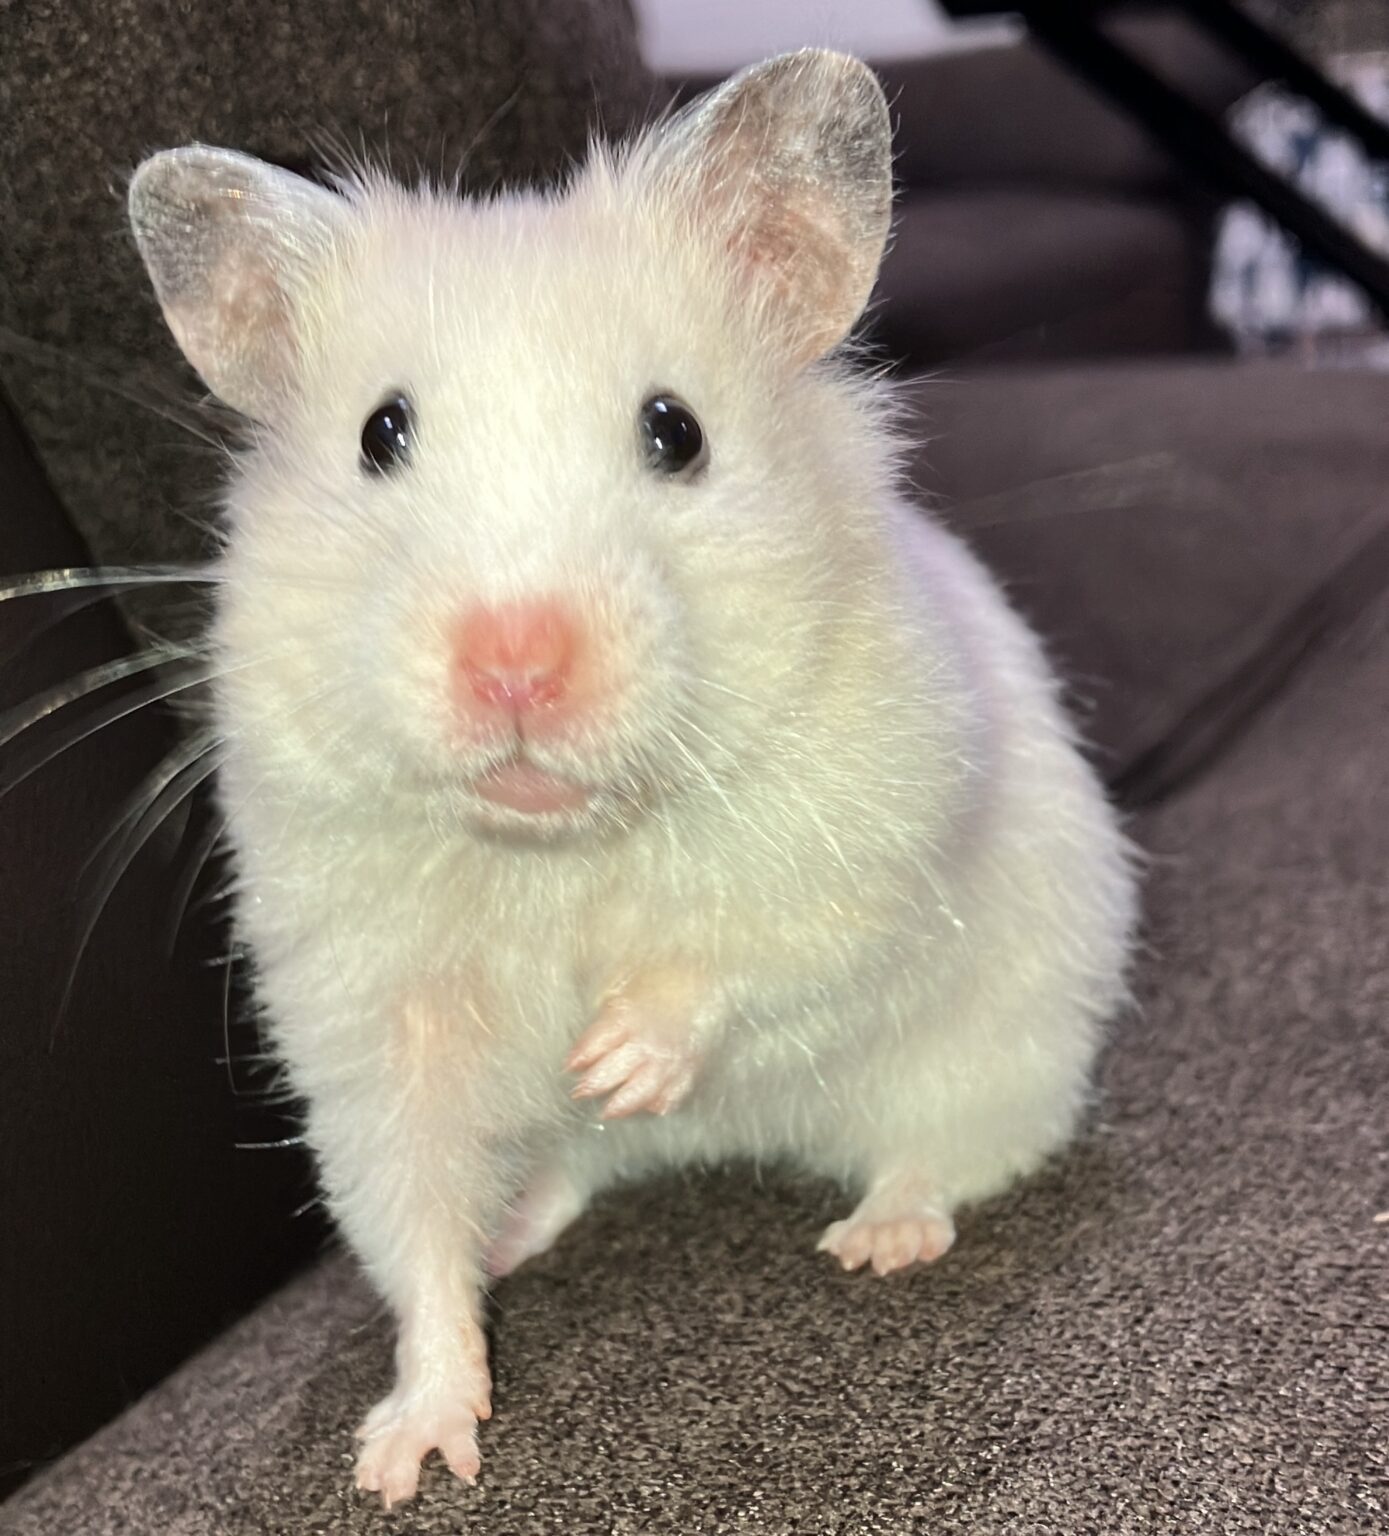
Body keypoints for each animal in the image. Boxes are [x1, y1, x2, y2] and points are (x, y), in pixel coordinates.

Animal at [127, 50, 1136, 1507]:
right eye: (380, 434)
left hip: (1015, 1036)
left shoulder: (882, 804)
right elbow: (412, 1227)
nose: (513, 663)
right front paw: (407, 1459)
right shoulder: (371, 1010)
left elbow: (766, 943)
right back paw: (532, 1215)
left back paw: (875, 1235)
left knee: (953, 1149)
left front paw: (611, 1056)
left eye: (676, 431)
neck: (565, 846)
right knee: (551, 1186)